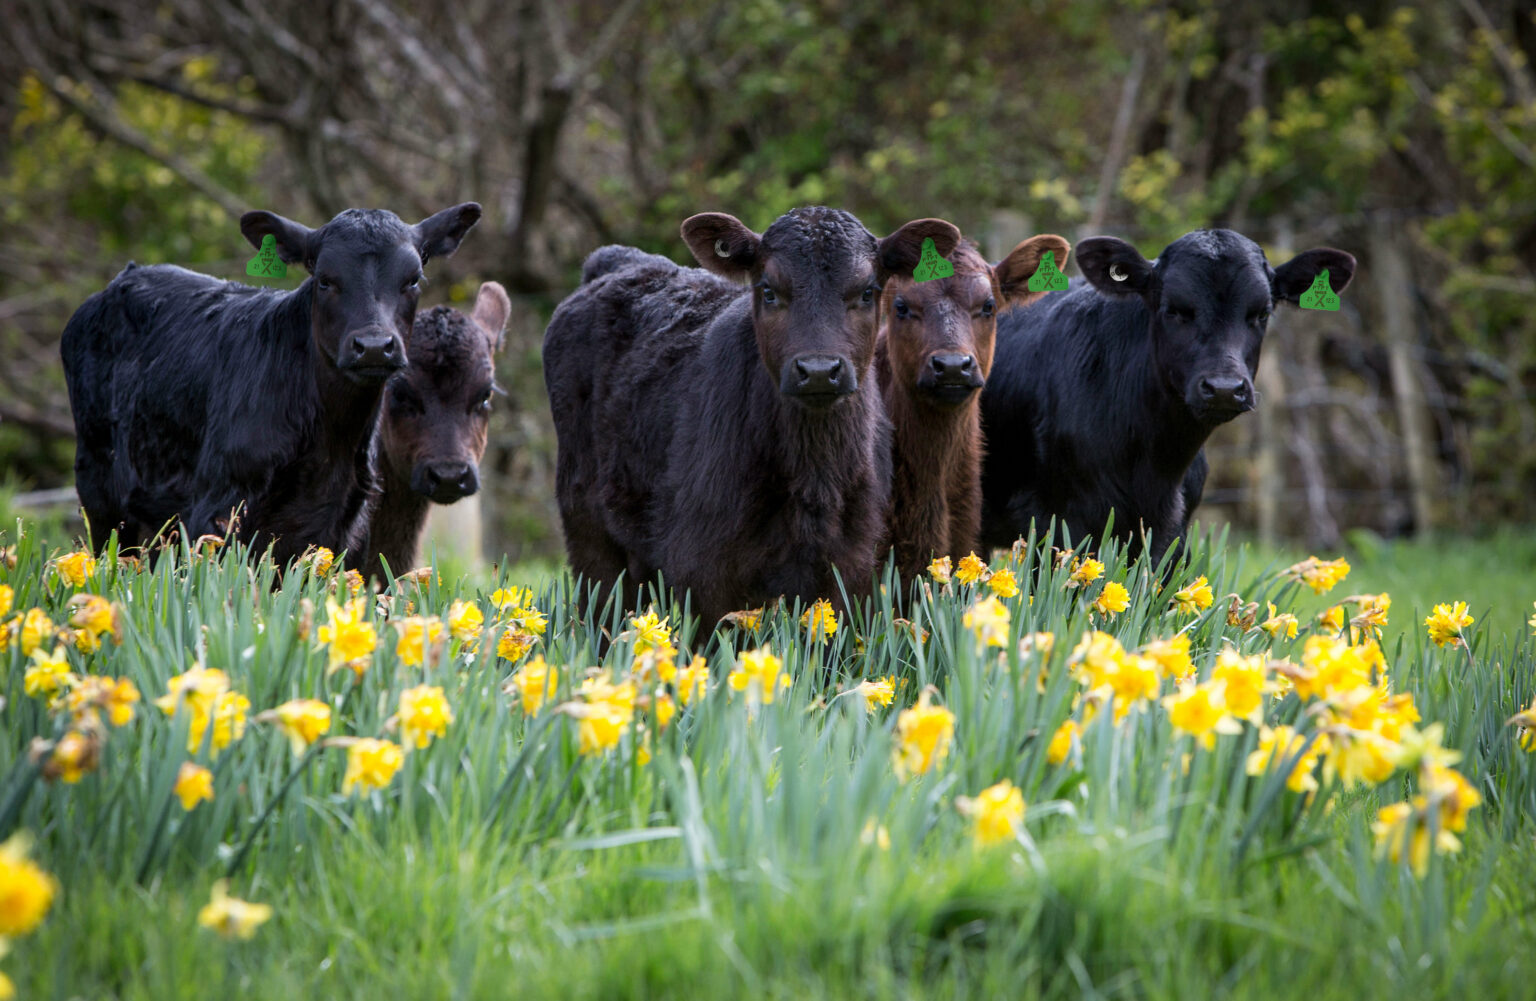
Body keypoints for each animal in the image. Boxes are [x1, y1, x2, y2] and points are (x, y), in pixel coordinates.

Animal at [60, 203, 482, 567]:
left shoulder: (341, 528)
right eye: (324, 279)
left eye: (413, 280)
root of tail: (126, 275)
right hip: (100, 491)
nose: (374, 347)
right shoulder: (217, 511)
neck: (328, 442)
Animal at [543, 206, 961, 626]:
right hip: (588, 531)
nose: (819, 370)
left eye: (867, 291)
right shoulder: (702, 568)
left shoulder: (850, 565)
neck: (813, 478)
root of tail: (624, 261)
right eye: (769, 291)